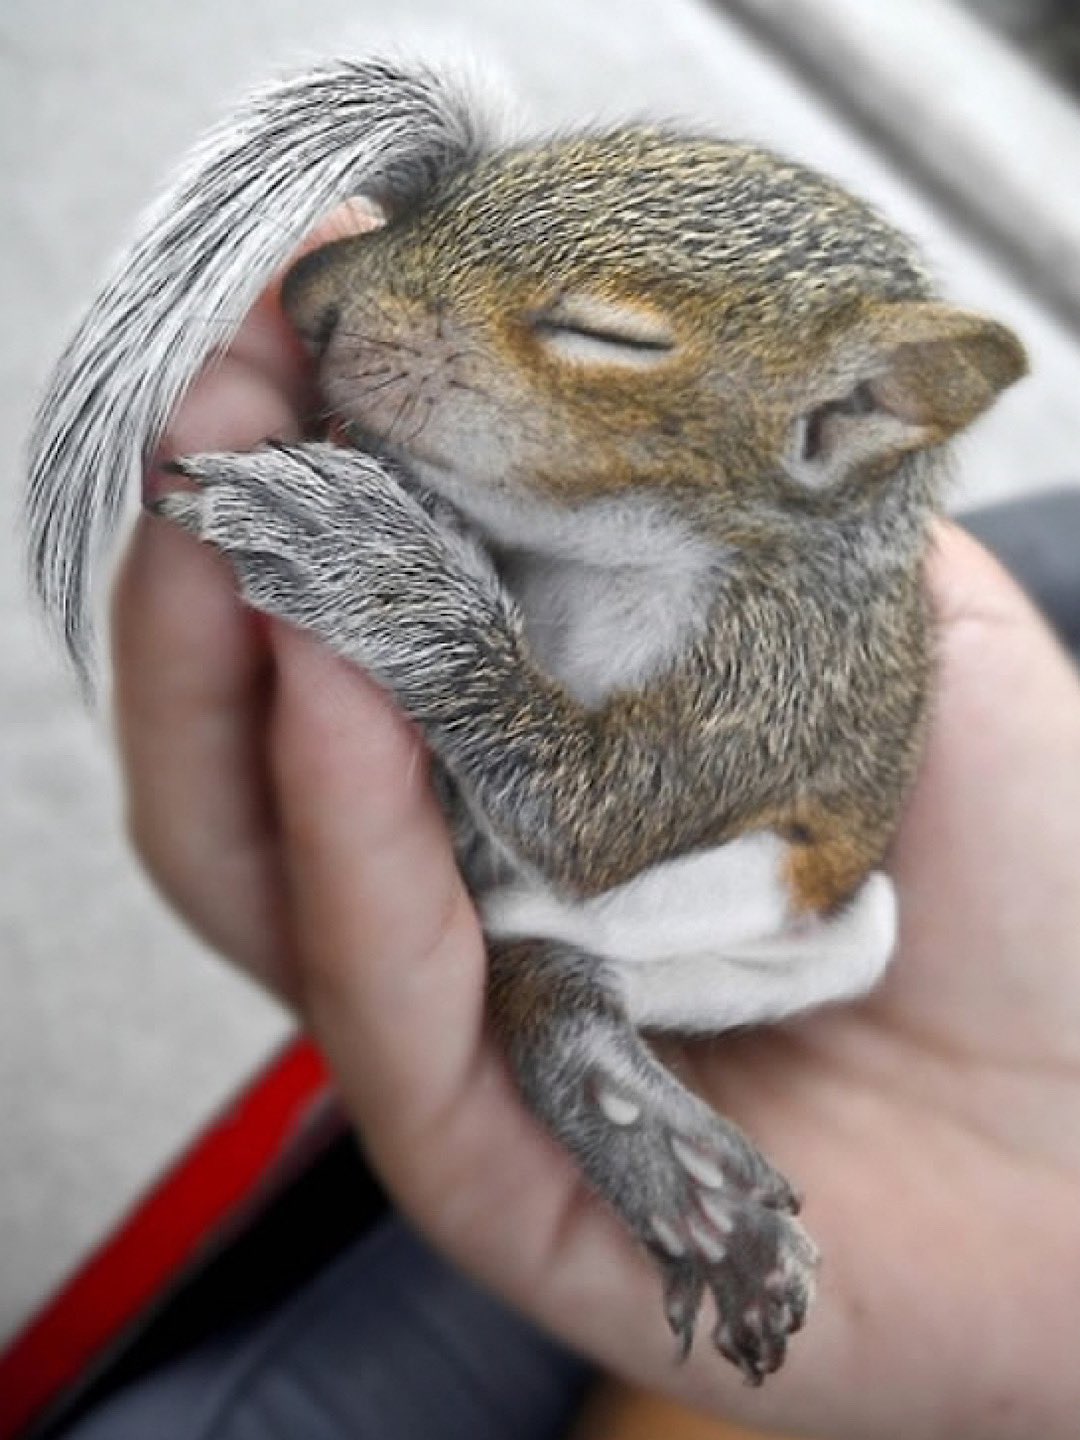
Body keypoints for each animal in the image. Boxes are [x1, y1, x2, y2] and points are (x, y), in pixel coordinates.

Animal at [24, 58, 1027, 1383]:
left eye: (605, 335)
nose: (310, 296)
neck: (624, 555)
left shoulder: (774, 681)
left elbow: (597, 811)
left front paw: (362, 553)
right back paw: (651, 1147)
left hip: (824, 920)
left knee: (566, 942)